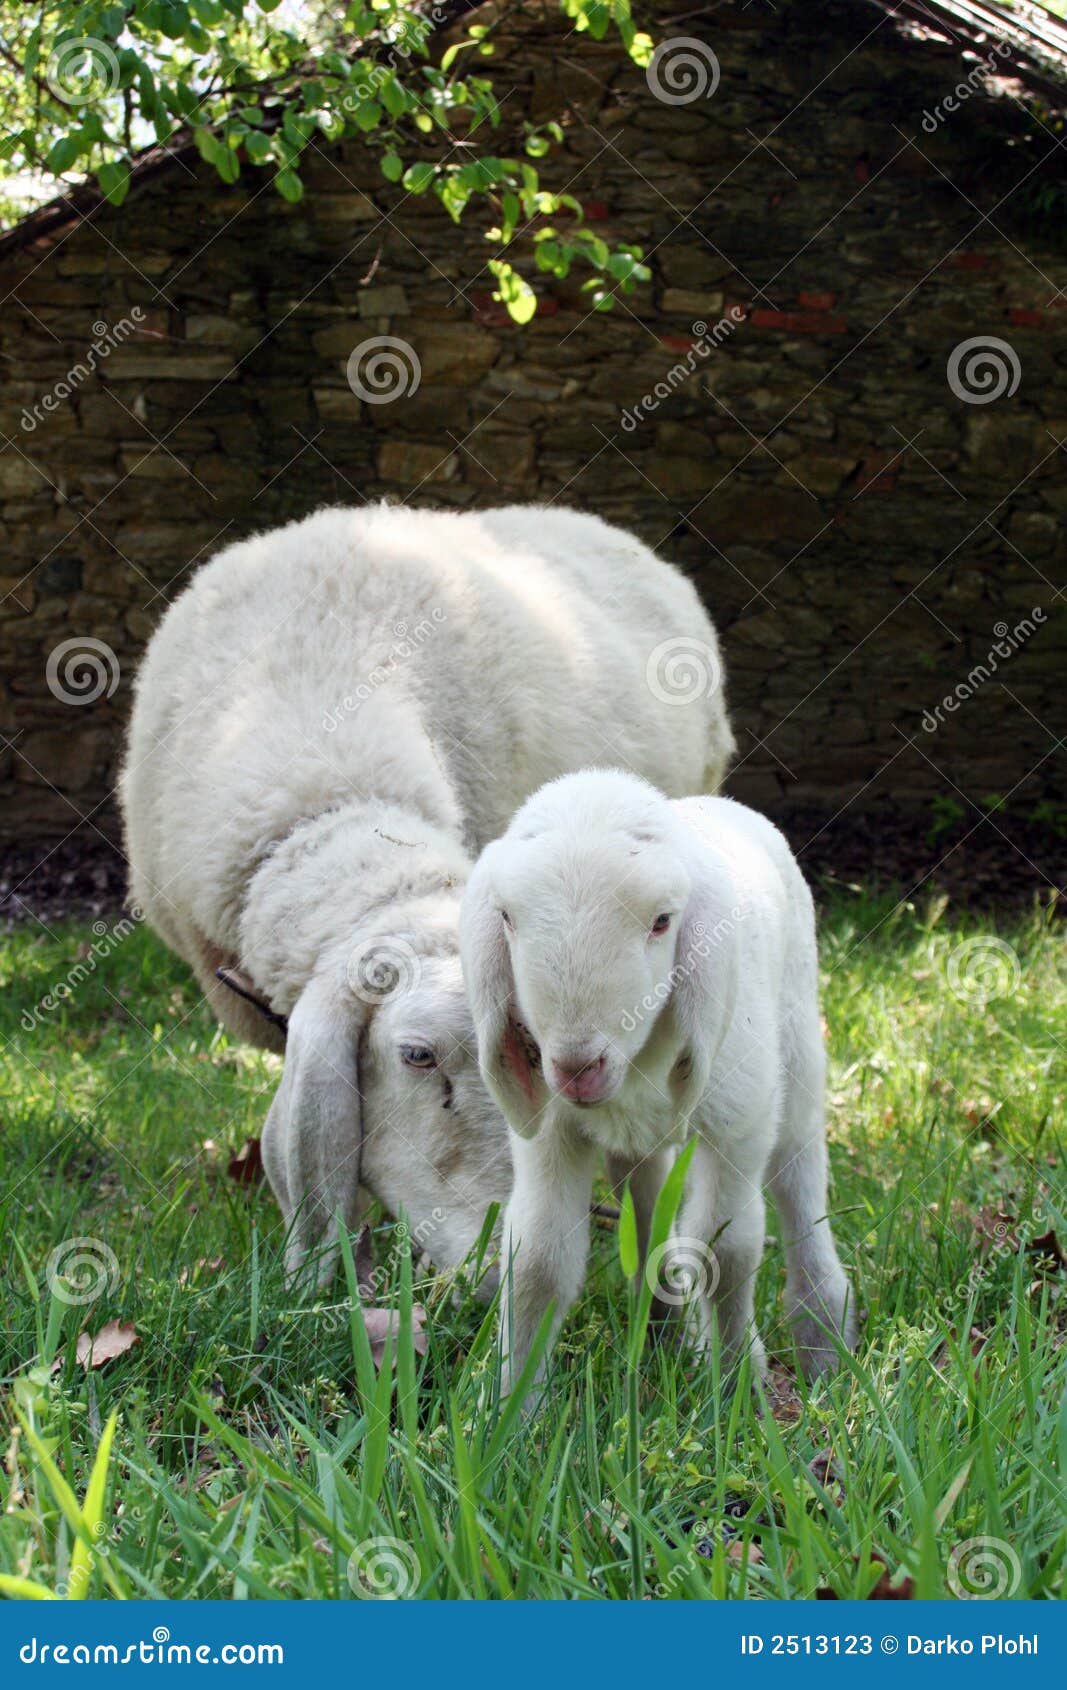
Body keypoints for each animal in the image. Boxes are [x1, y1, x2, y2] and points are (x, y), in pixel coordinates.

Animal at [460, 768, 856, 1394]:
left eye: (663, 921)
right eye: (506, 918)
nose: (576, 1067)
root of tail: (722, 802)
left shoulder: (738, 1124)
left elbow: (729, 1248)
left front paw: (739, 1383)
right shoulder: (550, 1133)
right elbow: (537, 1263)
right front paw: (509, 1404)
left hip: (795, 1059)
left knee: (799, 1179)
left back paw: (824, 1335)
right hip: (637, 1144)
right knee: (646, 1203)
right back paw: (665, 1332)